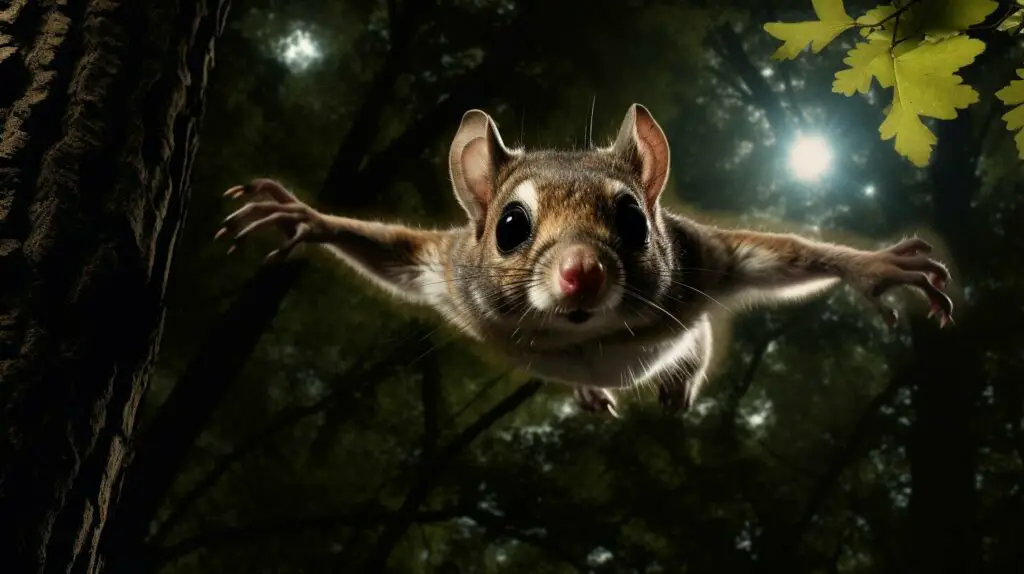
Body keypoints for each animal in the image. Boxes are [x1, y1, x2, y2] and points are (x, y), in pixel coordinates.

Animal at [215, 103, 954, 418]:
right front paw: (305, 217)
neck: (584, 334)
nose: (582, 271)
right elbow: (391, 250)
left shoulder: (702, 265)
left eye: (632, 220)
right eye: (509, 226)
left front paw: (879, 267)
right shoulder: (449, 274)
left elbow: (786, 255)